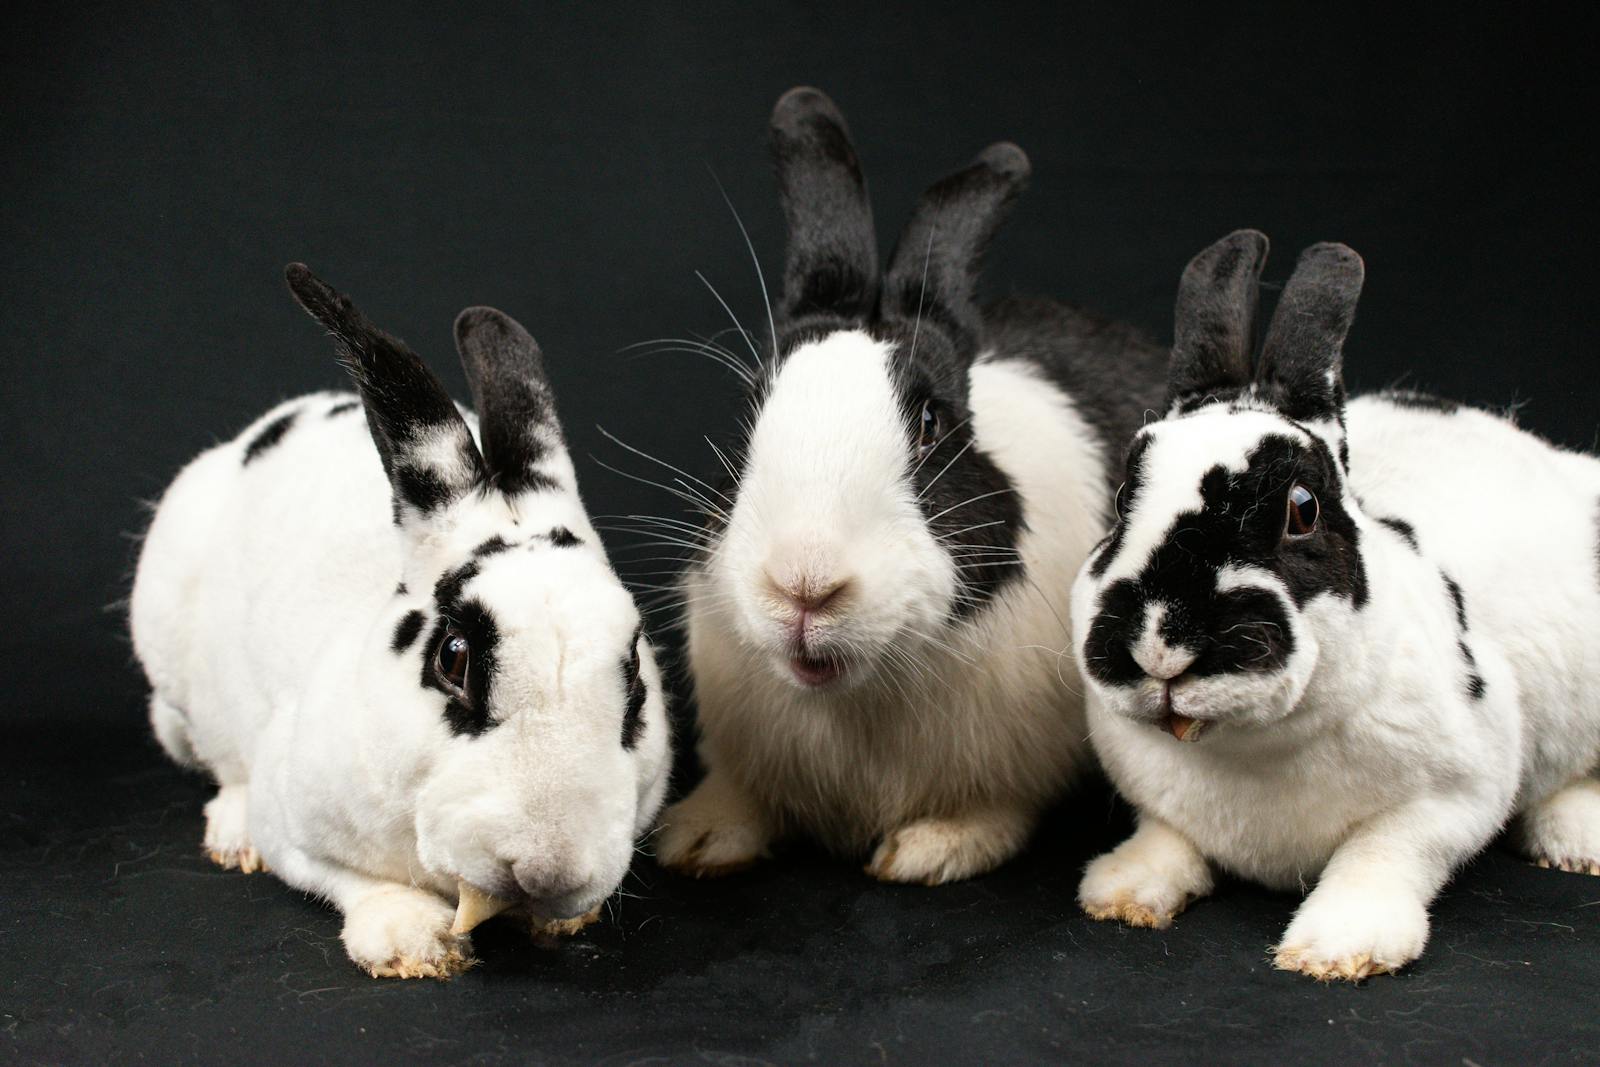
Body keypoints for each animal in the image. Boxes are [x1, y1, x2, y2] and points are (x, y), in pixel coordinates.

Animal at [129, 264, 672, 978]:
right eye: (453, 657)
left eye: (634, 668)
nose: (547, 868)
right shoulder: (293, 821)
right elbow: (344, 876)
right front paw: (414, 943)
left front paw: (561, 921)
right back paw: (232, 836)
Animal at [655, 87, 1168, 884]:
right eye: (752, 410)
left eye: (931, 424)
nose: (804, 586)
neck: (855, 694)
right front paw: (698, 837)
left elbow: (991, 811)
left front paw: (929, 851)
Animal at [1072, 229, 1600, 980]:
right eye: (1123, 500)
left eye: (1303, 509)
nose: (1159, 647)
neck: (1250, 748)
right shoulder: (1156, 797)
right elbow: (1167, 836)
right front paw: (1121, 892)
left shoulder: (1454, 796)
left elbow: (1382, 854)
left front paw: (1339, 948)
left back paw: (1578, 840)